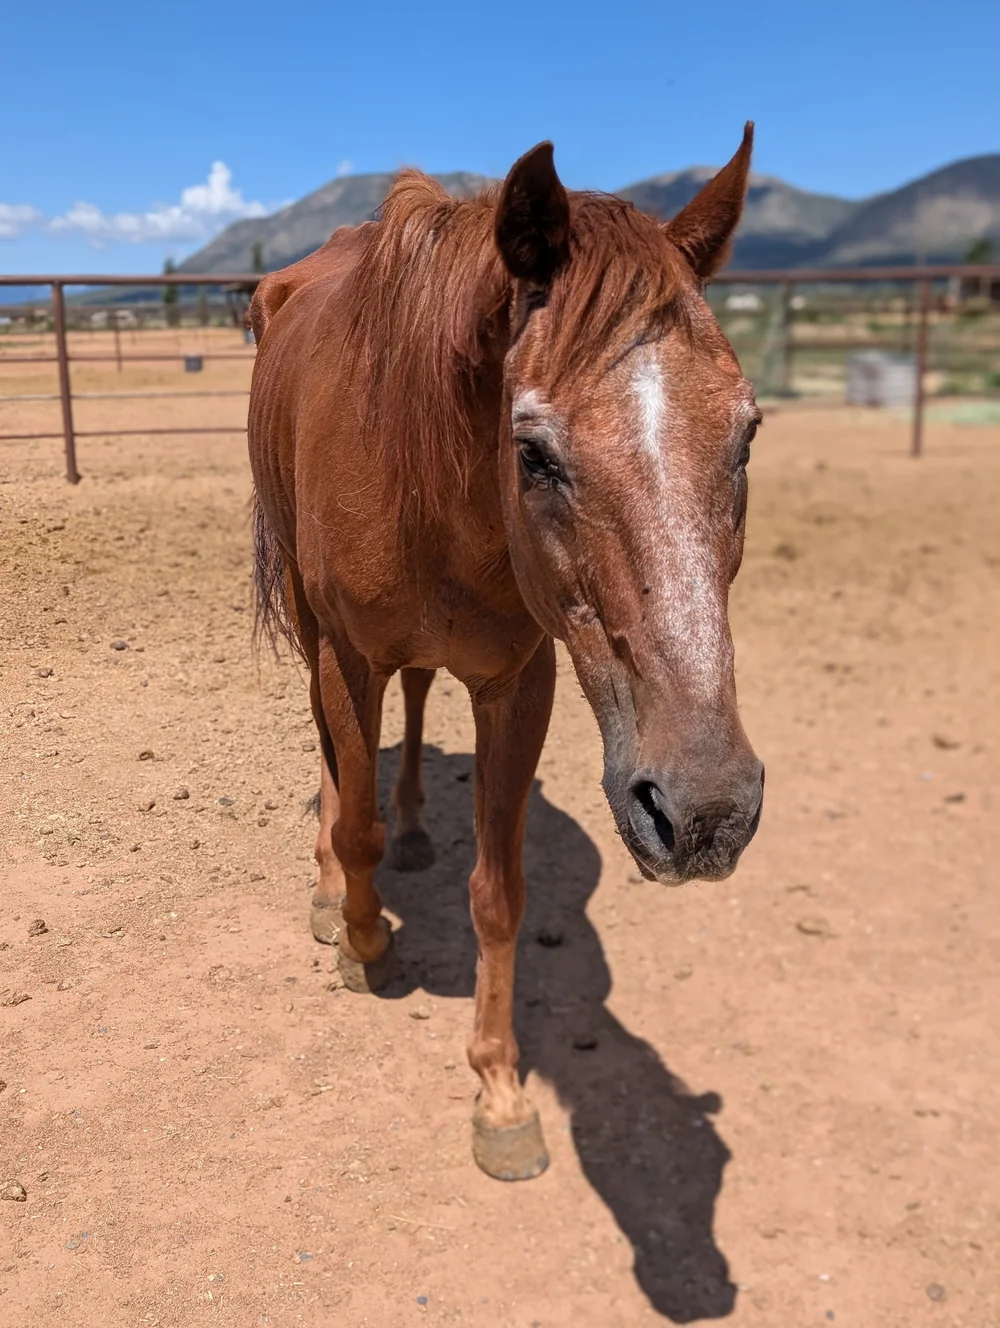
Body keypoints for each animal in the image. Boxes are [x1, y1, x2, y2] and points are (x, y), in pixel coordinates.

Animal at [247, 125, 764, 1182]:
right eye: (534, 452)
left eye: (746, 435)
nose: (706, 816)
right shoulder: (349, 658)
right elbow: (350, 816)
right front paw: (363, 941)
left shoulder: (519, 683)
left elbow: (499, 893)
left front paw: (499, 1093)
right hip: (311, 626)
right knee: (330, 757)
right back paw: (331, 892)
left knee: (411, 707)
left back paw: (412, 827)